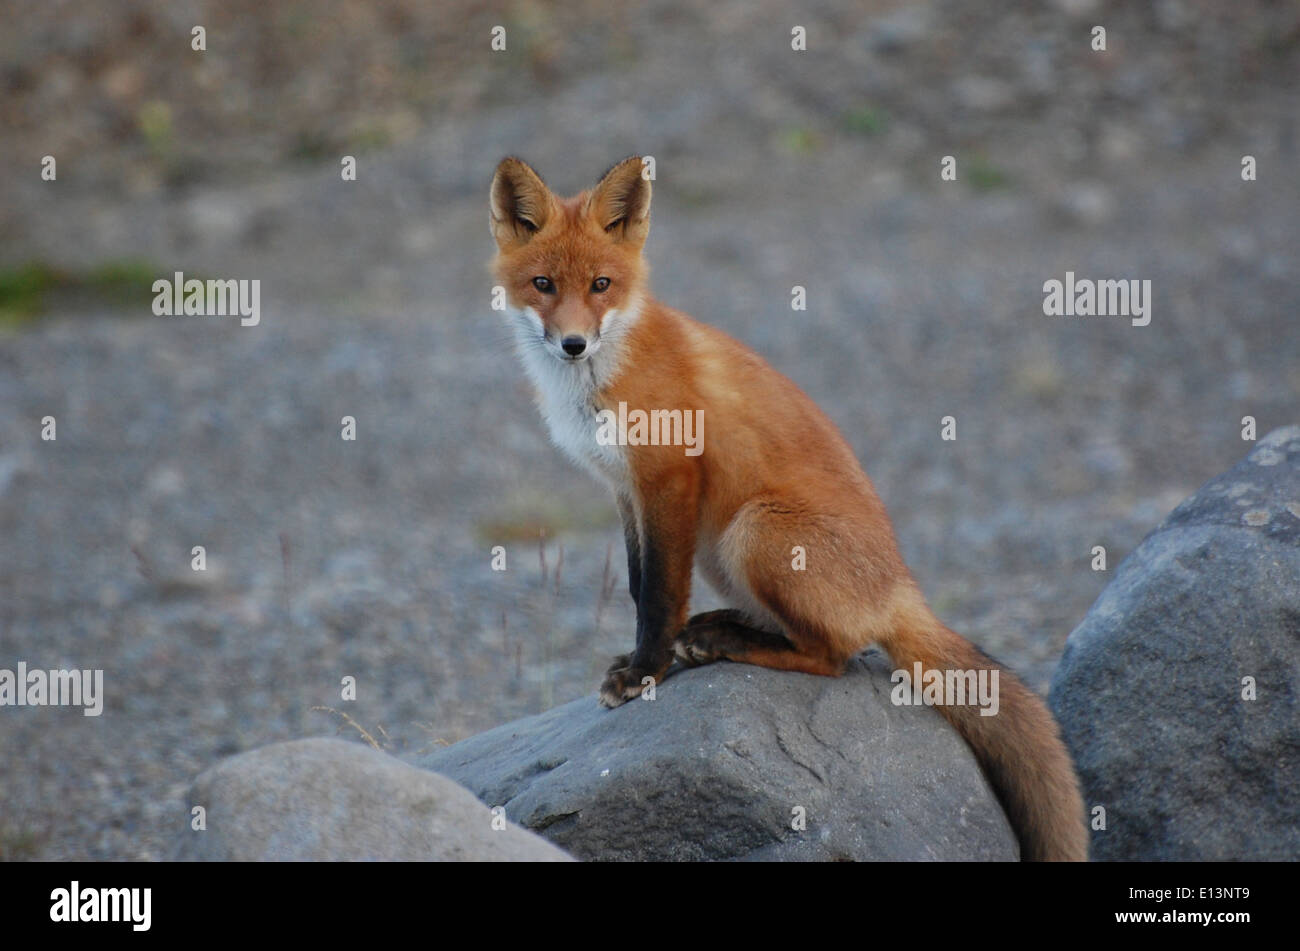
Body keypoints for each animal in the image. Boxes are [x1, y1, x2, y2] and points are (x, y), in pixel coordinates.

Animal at [489, 155, 1089, 862]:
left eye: (602, 285)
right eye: (544, 285)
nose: (574, 344)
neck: (599, 382)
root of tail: (902, 588)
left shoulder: (669, 477)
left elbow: (659, 594)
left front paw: (644, 672)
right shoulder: (624, 489)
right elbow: (639, 585)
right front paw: (641, 660)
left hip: (753, 531)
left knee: (833, 656)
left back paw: (726, 642)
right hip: (722, 550)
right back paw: (719, 629)